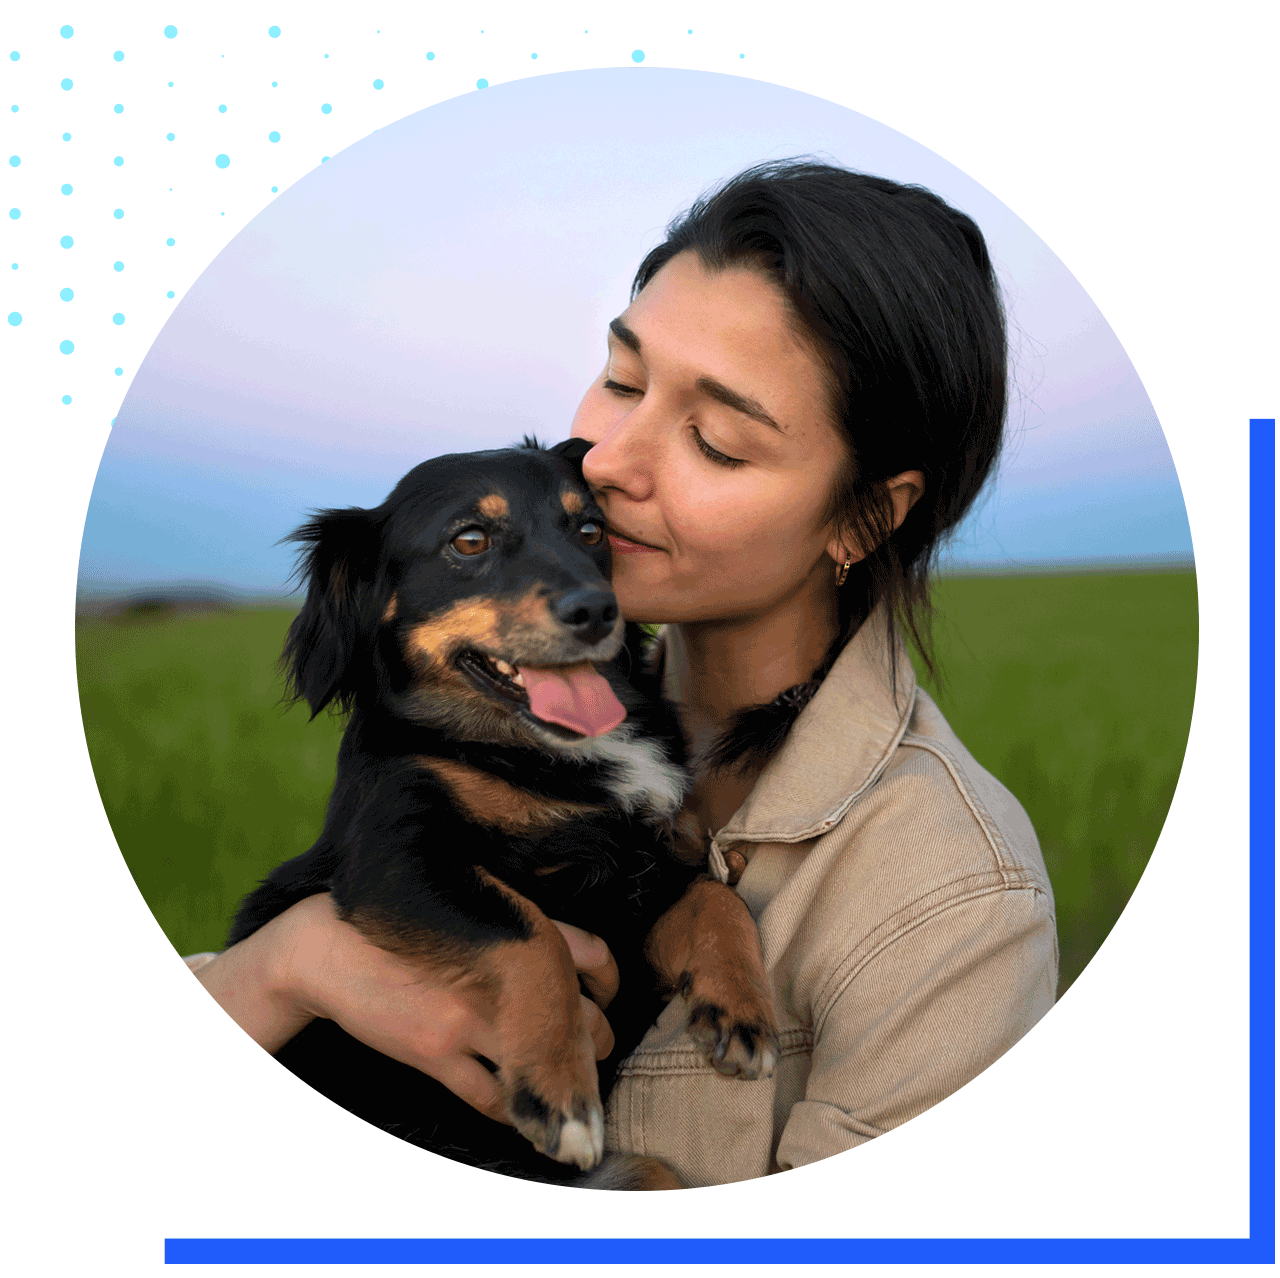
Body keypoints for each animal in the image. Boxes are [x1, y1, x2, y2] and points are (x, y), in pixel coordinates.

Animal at [230, 440, 778, 1188]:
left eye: (591, 530)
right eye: (470, 541)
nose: (598, 609)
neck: (533, 750)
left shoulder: (643, 877)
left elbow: (718, 900)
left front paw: (742, 1010)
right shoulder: (397, 858)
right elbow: (530, 935)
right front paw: (559, 1095)